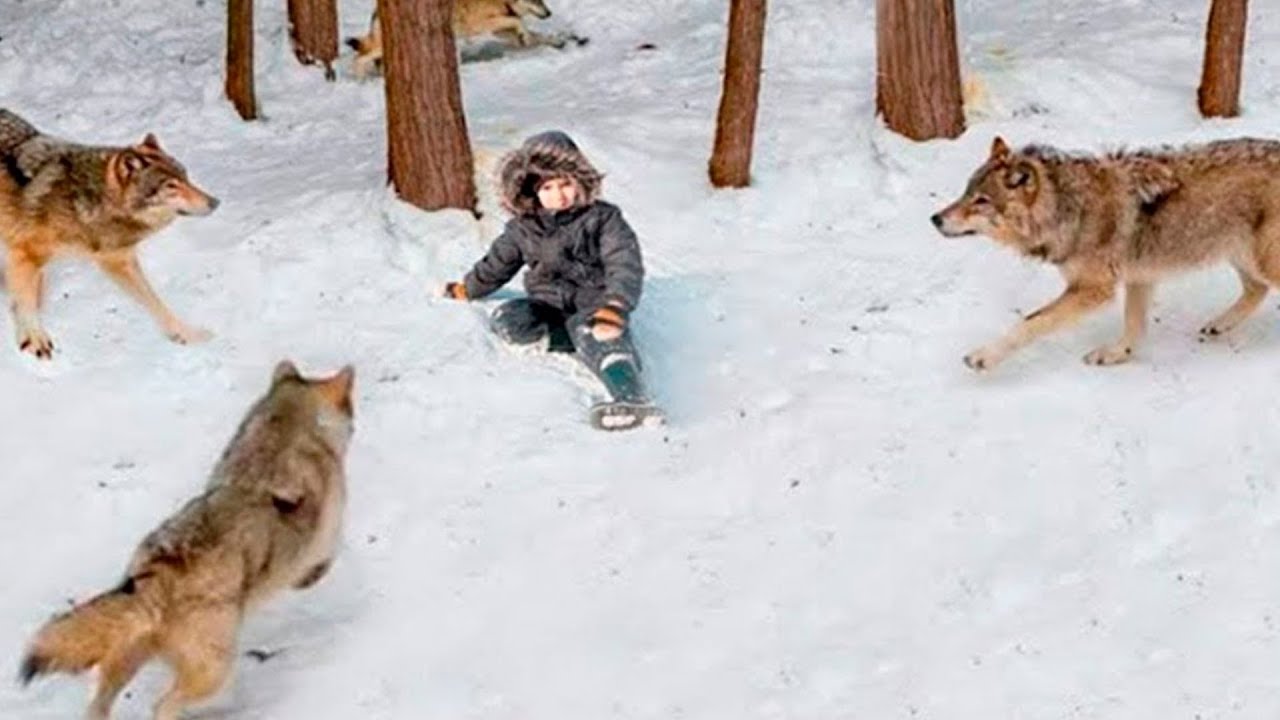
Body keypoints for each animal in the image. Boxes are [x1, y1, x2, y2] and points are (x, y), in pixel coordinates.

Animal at [0, 109, 218, 360]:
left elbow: (156, 303)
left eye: (186, 177)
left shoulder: (119, 260)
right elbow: (27, 302)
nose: (215, 202)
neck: (88, 204)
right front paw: (35, 340)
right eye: (171, 186)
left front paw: (186, 334)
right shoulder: (24, 254)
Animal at [18, 361, 355, 720]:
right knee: (162, 705)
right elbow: (324, 561)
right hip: (212, 670)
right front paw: (309, 580)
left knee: (98, 703)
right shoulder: (327, 534)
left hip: (129, 654)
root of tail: (158, 576)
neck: (282, 430)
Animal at [347, 0, 558, 78]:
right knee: (358, 59)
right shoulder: (481, 25)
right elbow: (518, 21)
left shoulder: (500, 30)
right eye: (536, 0)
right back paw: (361, 81)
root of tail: (376, 11)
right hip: (382, 47)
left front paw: (555, 42)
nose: (549, 13)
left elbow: (535, 35)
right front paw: (526, 36)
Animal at [933, 135, 1280, 371]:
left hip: (1260, 261)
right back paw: (1219, 325)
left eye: (981, 201)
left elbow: (1030, 322)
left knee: (1260, 289)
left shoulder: (1092, 290)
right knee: (1256, 290)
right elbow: (1133, 328)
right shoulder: (1139, 277)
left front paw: (983, 356)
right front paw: (1115, 355)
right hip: (1243, 257)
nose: (935, 219)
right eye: (965, 193)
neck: (1069, 210)